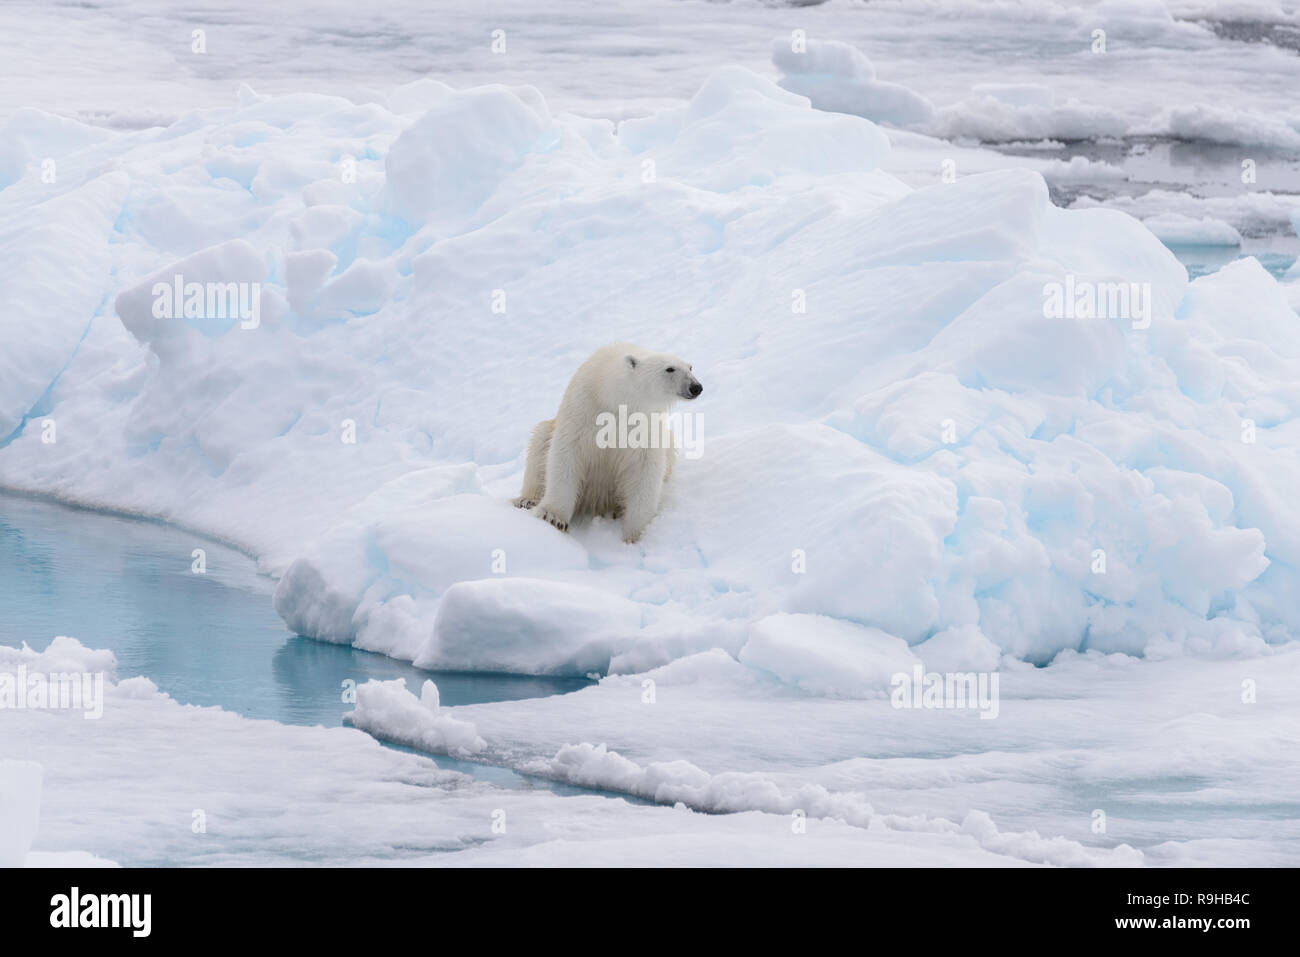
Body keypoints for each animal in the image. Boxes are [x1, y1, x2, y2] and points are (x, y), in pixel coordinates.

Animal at [513, 342, 703, 543]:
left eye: (690, 367)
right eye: (670, 369)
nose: (696, 387)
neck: (613, 397)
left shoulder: (645, 424)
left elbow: (645, 469)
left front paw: (635, 534)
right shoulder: (583, 409)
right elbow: (567, 452)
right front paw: (552, 516)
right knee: (539, 443)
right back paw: (527, 500)